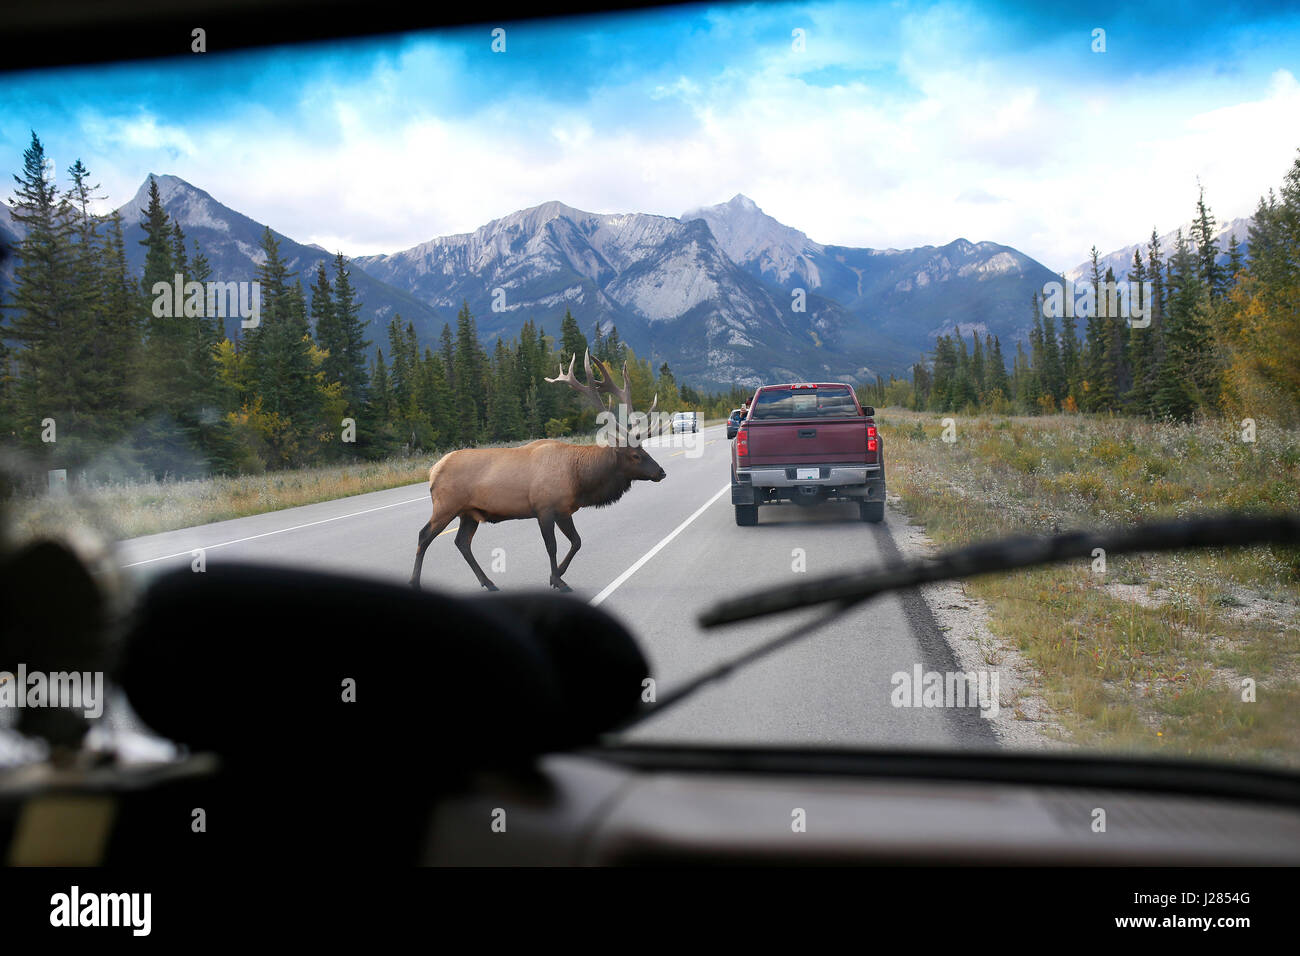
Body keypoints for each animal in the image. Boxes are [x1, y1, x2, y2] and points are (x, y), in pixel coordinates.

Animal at [408, 350, 666, 593]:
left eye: (644, 449)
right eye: (635, 455)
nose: (661, 472)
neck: (579, 480)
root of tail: (433, 471)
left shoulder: (564, 510)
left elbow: (577, 542)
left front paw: (556, 575)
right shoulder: (545, 509)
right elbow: (552, 547)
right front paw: (558, 580)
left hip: (469, 513)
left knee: (461, 542)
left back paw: (489, 582)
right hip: (446, 506)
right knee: (424, 535)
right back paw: (415, 582)